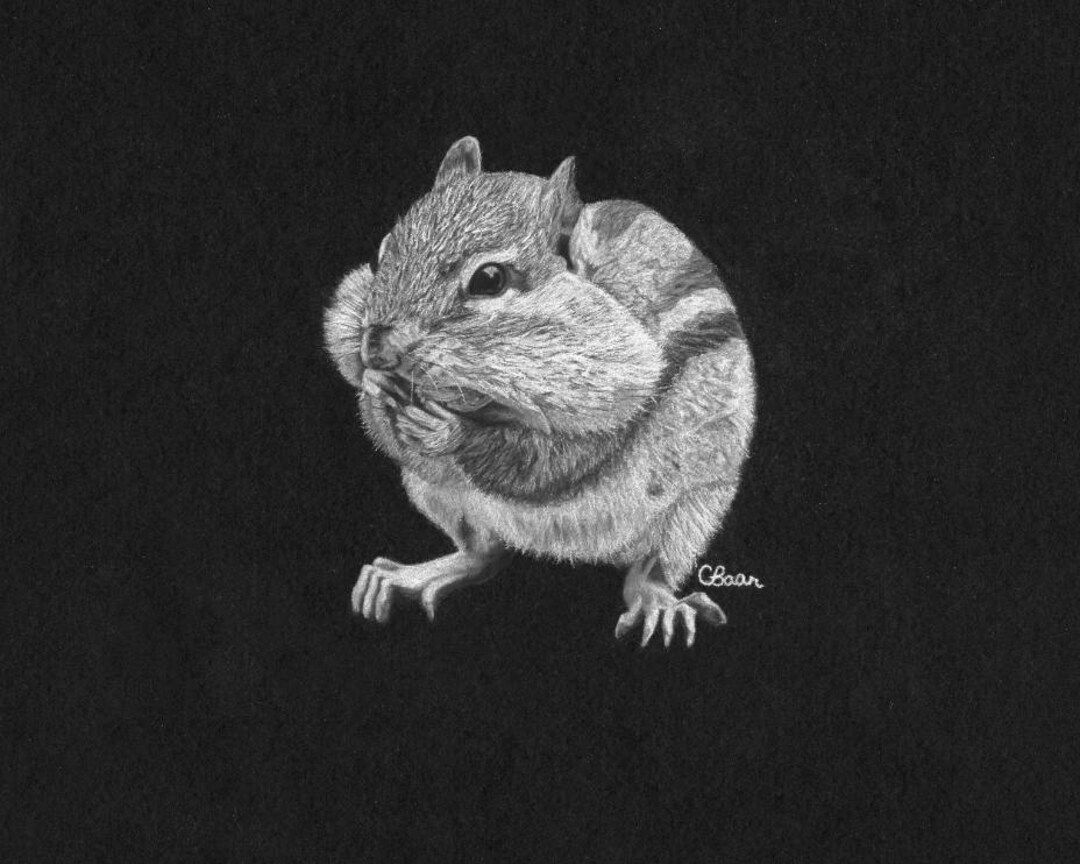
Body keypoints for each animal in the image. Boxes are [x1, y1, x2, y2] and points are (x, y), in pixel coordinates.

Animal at [324, 136, 755, 648]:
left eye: (489, 280)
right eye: (383, 252)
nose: (375, 345)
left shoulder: (632, 385)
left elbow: (557, 459)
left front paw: (450, 432)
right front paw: (373, 386)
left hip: (693, 510)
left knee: (649, 567)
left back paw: (656, 598)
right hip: (436, 493)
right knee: (483, 553)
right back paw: (413, 574)